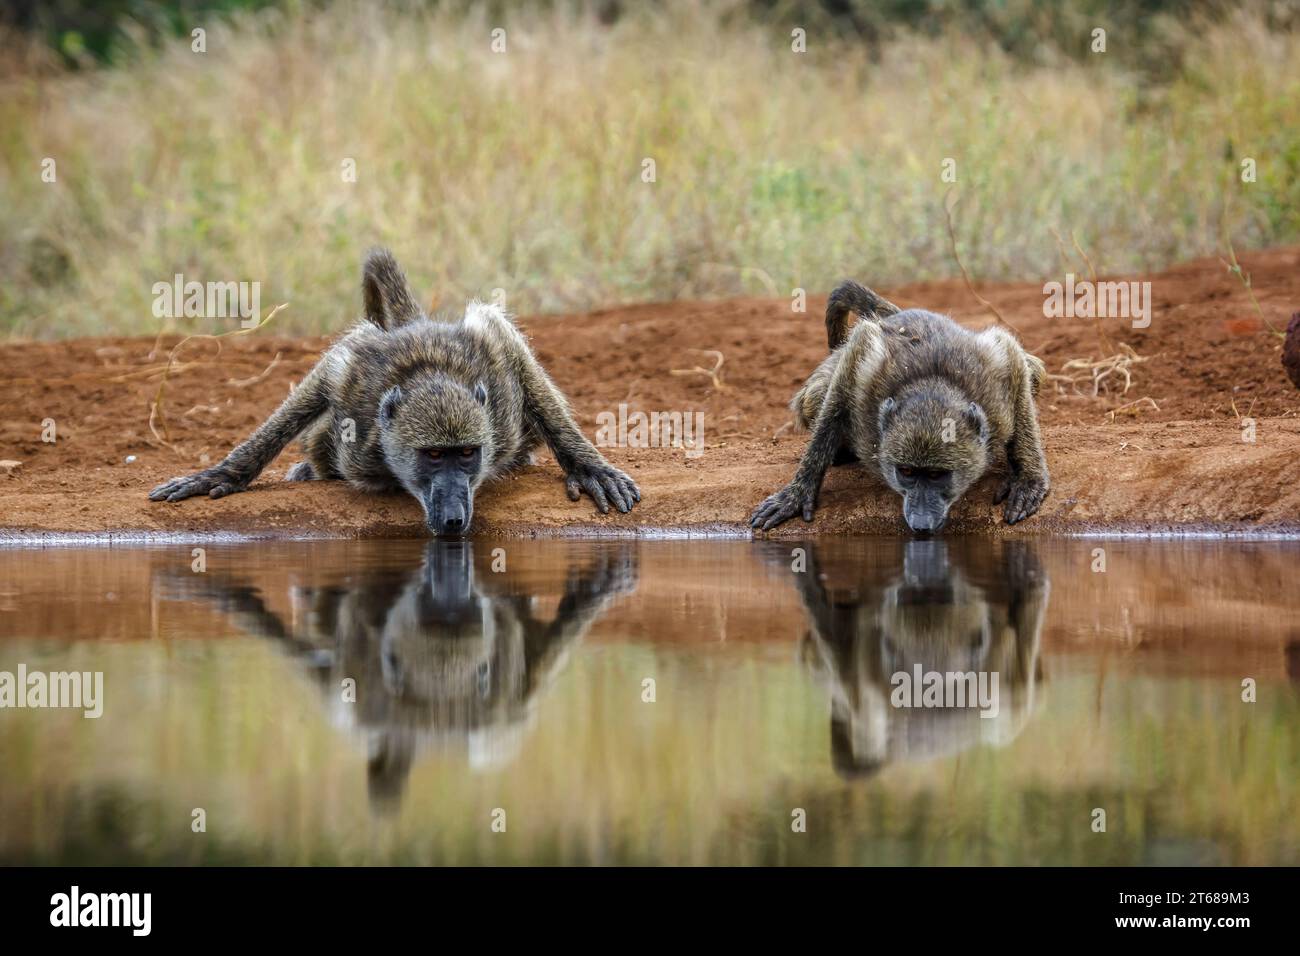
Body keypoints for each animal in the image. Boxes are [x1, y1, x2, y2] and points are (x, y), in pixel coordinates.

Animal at [149, 248, 640, 535]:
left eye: (467, 453)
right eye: (434, 455)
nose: (453, 518)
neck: (431, 375)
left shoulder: (495, 365)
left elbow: (517, 355)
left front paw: (590, 469)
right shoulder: (353, 376)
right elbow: (315, 387)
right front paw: (224, 474)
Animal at [750, 280, 1049, 534]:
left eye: (936, 474)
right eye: (906, 472)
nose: (921, 523)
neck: (933, 385)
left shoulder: (995, 379)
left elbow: (1012, 356)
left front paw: (1028, 477)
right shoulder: (864, 365)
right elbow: (843, 383)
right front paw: (798, 493)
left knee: (1031, 367)